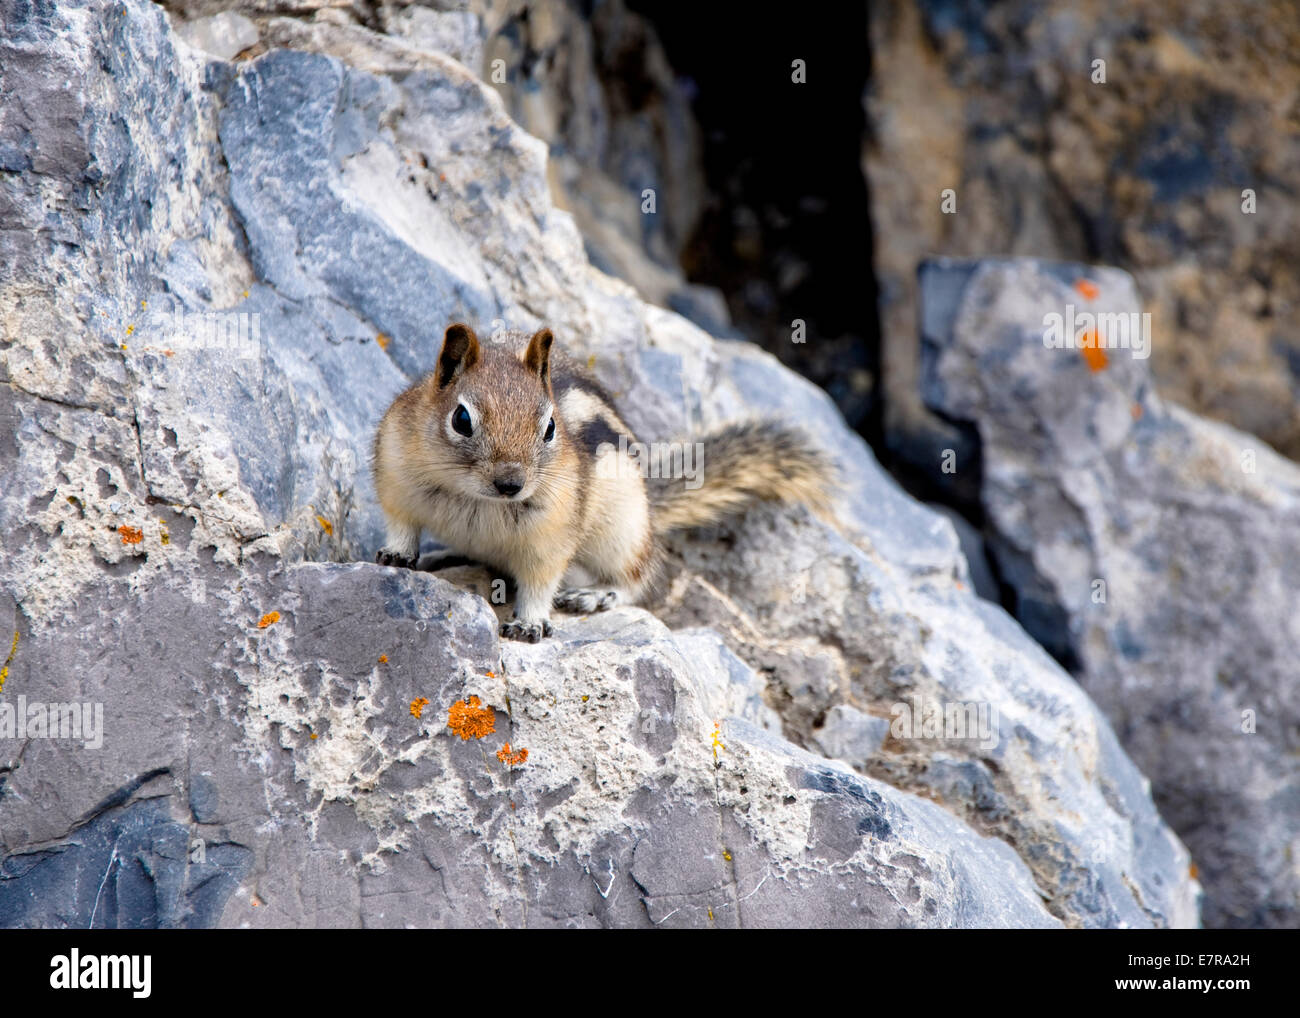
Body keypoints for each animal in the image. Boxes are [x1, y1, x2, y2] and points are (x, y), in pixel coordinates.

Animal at [372, 323, 838, 642]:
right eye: (461, 419)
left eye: (550, 428)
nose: (511, 483)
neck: (474, 498)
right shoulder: (396, 478)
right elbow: (401, 525)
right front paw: (397, 555)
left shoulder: (552, 533)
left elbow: (541, 579)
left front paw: (530, 622)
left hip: (623, 531)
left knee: (639, 576)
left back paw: (596, 594)